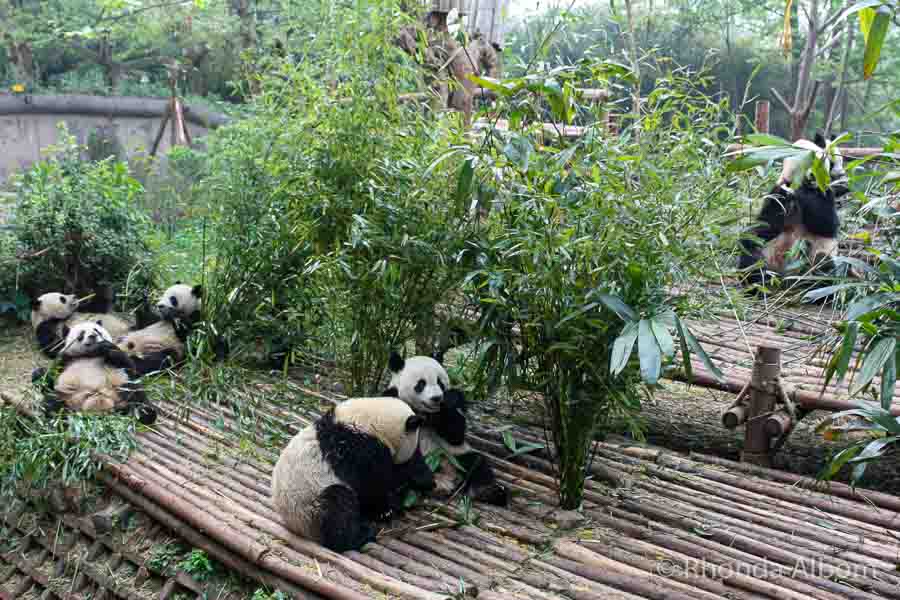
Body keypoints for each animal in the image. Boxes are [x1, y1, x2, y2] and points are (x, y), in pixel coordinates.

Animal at [271, 395, 435, 552]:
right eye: (416, 446)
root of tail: (294, 526)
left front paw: (424, 479)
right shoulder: (356, 451)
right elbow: (372, 484)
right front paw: (387, 509)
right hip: (310, 505)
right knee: (337, 504)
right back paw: (361, 535)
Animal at [381, 351, 509, 507]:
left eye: (440, 383)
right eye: (421, 384)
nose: (436, 398)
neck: (426, 413)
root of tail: (445, 478)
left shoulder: (457, 405)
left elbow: (456, 434)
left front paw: (448, 401)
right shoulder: (390, 400)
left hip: (454, 456)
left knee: (476, 462)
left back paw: (488, 492)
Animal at [738, 132, 850, 287]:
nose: (812, 177)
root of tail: (785, 278)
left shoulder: (823, 191)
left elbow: (827, 225)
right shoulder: (780, 193)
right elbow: (769, 224)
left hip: (817, 257)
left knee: (823, 263)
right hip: (767, 254)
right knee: (751, 249)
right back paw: (758, 281)